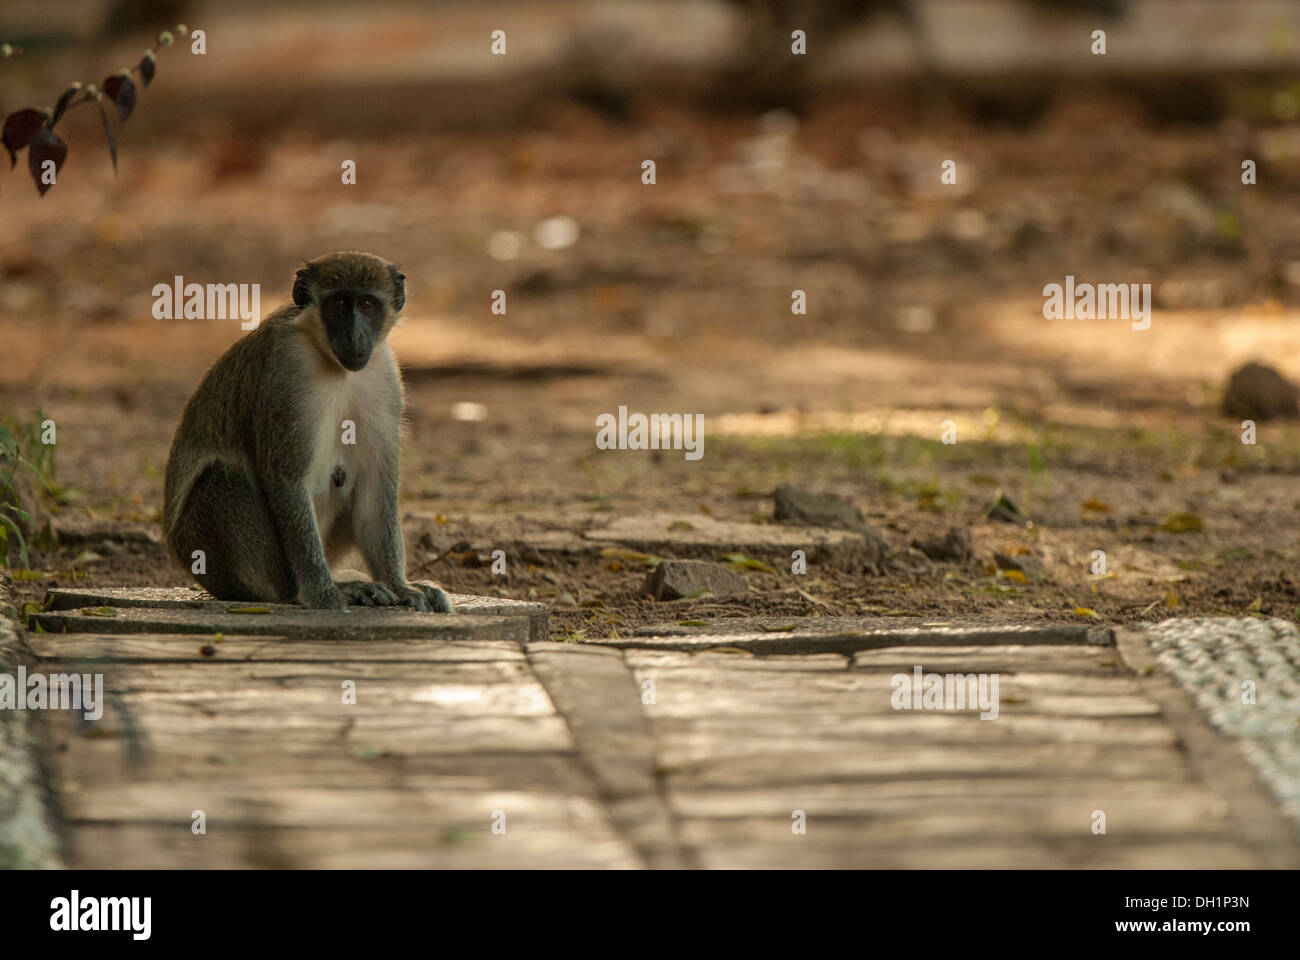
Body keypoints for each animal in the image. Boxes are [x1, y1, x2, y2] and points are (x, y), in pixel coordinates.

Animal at [162, 251, 452, 613]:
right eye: (339, 303)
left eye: (367, 303)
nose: (355, 336)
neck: (332, 362)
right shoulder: (287, 368)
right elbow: (287, 479)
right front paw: (324, 594)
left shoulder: (385, 376)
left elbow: (375, 485)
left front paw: (401, 586)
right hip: (201, 548)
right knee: (222, 478)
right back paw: (302, 591)